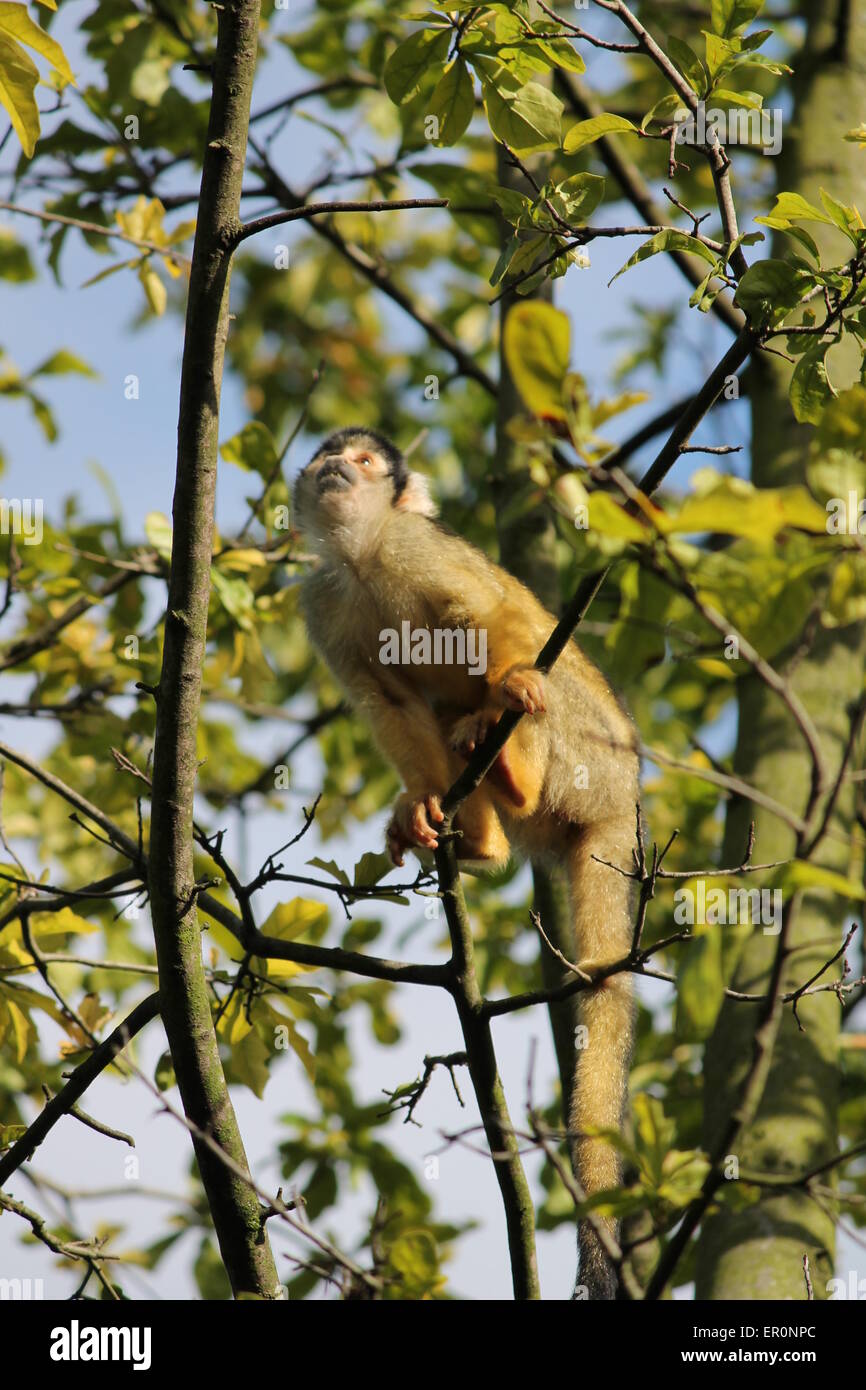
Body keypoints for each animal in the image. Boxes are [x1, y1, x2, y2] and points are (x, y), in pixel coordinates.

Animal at [293, 426, 639, 1300]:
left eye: (367, 462)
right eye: (326, 456)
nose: (337, 468)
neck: (365, 556)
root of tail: (626, 802)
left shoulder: (417, 547)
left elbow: (493, 612)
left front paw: (512, 686)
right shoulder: (321, 600)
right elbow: (386, 702)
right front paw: (424, 806)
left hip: (594, 758)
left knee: (520, 663)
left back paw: (512, 751)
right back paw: (479, 831)